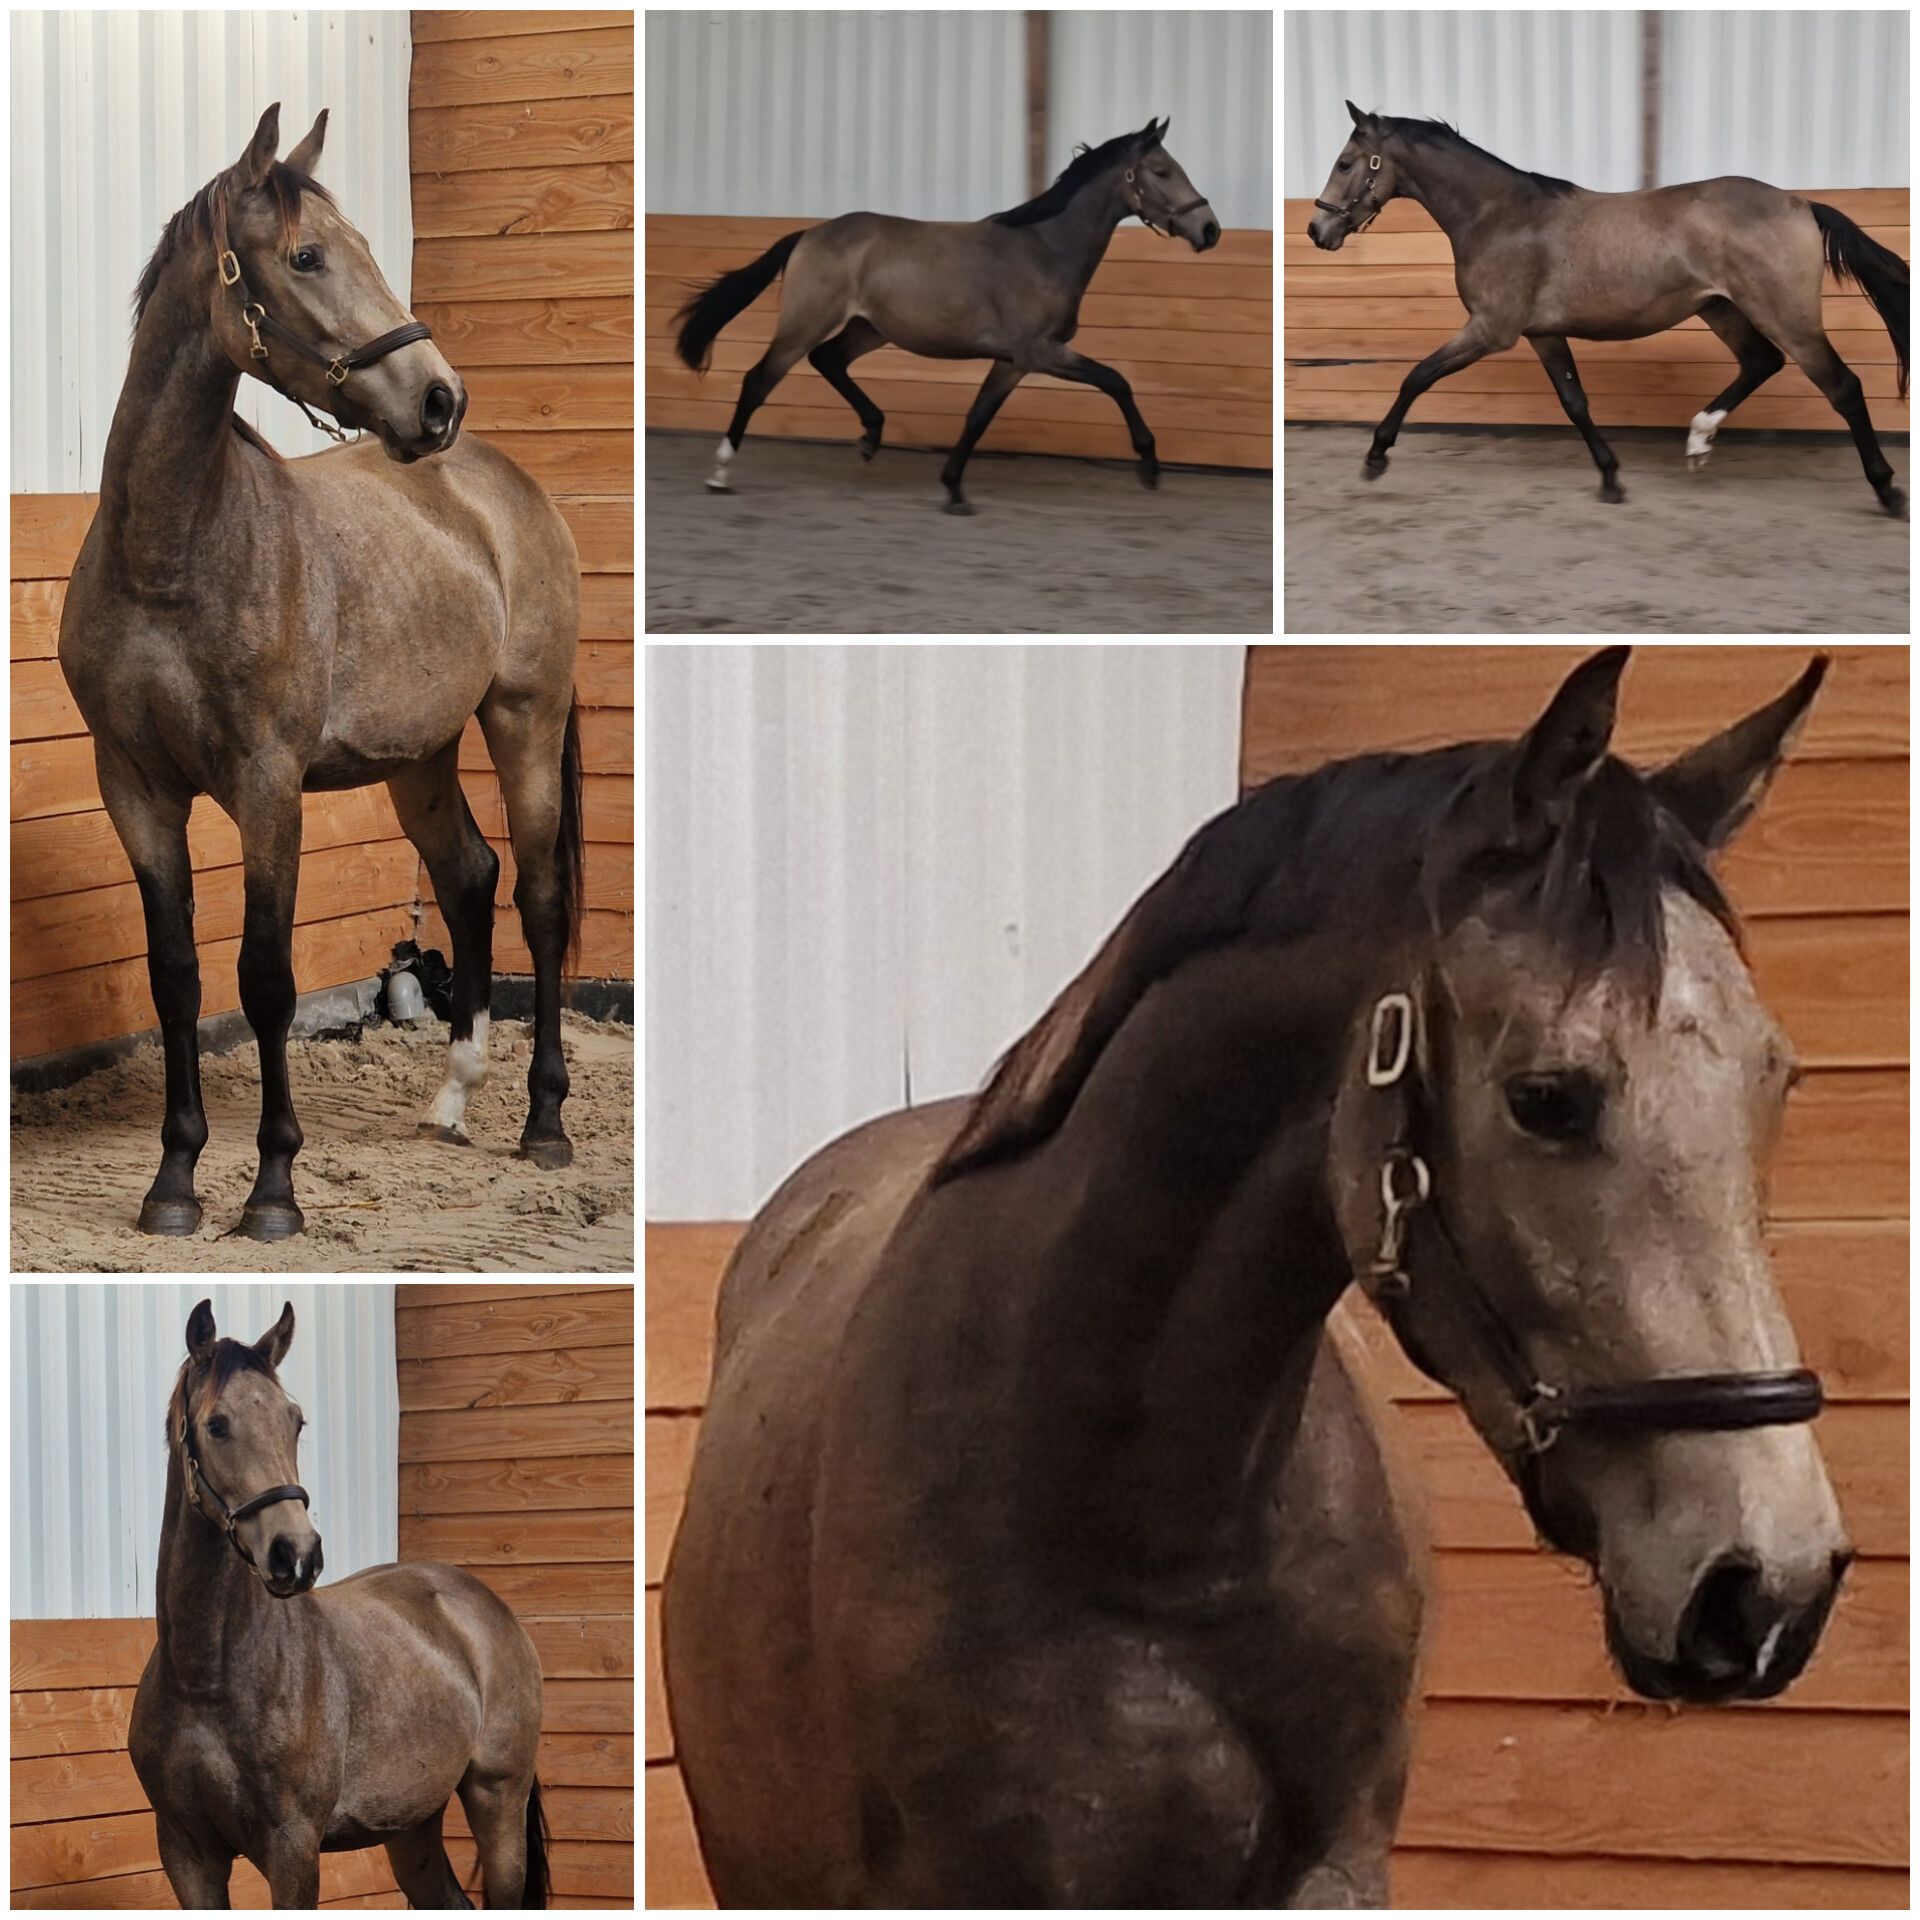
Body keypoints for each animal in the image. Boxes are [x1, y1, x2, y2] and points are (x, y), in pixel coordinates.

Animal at [57, 104, 584, 1242]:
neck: (171, 555)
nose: (439, 400)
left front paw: (272, 1189)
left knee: (540, 898)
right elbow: (176, 977)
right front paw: (174, 1183)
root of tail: (506, 488)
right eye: (306, 257)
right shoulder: (136, 790)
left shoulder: (268, 790)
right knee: (468, 877)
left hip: (523, 721)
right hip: (421, 756)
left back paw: (544, 1123)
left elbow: (266, 978)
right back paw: (452, 1100)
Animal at [129, 1299, 549, 1908]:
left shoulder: (293, 1849)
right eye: (216, 1424)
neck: (206, 1679)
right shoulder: (187, 1855)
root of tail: (491, 1611)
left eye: (295, 1421)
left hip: (498, 1800)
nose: (297, 1554)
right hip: (411, 1826)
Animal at [674, 116, 1219, 512]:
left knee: (828, 361)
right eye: (1163, 171)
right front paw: (1149, 466)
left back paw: (871, 435)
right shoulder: (1039, 353)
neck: (1045, 248)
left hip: (870, 329)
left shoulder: (1013, 362)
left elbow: (978, 416)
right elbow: (1116, 382)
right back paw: (719, 473)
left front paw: (953, 489)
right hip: (804, 325)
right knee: (758, 380)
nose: (1209, 229)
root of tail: (808, 234)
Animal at [1306, 101, 1909, 514]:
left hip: (1787, 317)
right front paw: (1612, 477)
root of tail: (1800, 203)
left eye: (1345, 162)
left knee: (1843, 386)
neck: (1498, 216)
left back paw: (1886, 488)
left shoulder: (1490, 330)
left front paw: (1376, 456)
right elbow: (1575, 402)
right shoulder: (1541, 333)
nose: (1317, 231)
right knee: (1761, 363)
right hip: (1722, 309)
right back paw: (1698, 439)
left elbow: (1417, 376)